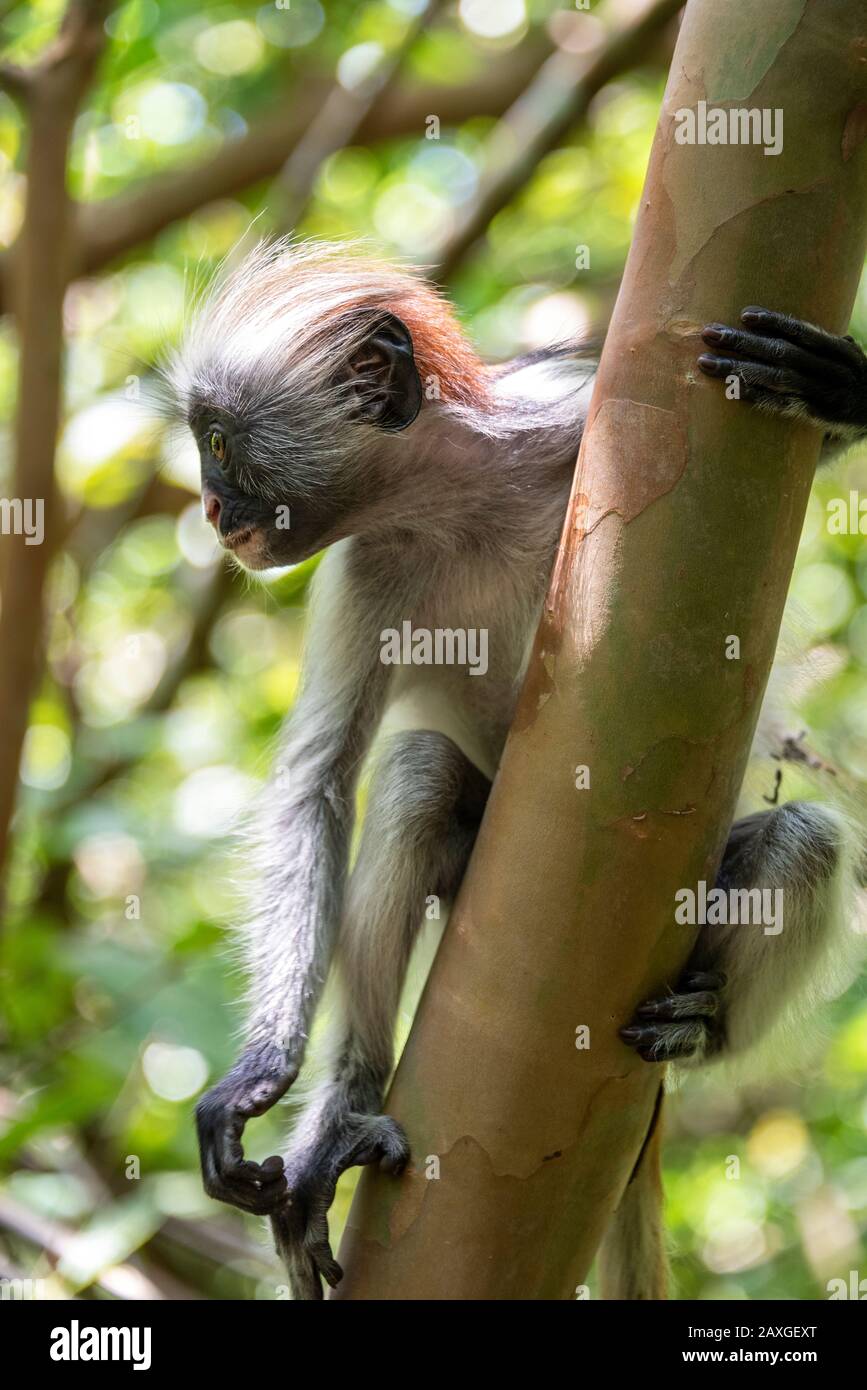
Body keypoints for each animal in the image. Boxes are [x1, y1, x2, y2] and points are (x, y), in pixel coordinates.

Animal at [167, 241, 866, 1300]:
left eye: (216, 440)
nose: (208, 509)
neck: (451, 505)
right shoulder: (366, 564)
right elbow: (316, 780)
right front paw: (262, 1071)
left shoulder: (575, 425)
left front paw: (848, 390)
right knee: (417, 775)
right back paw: (347, 1110)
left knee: (806, 837)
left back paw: (703, 1029)